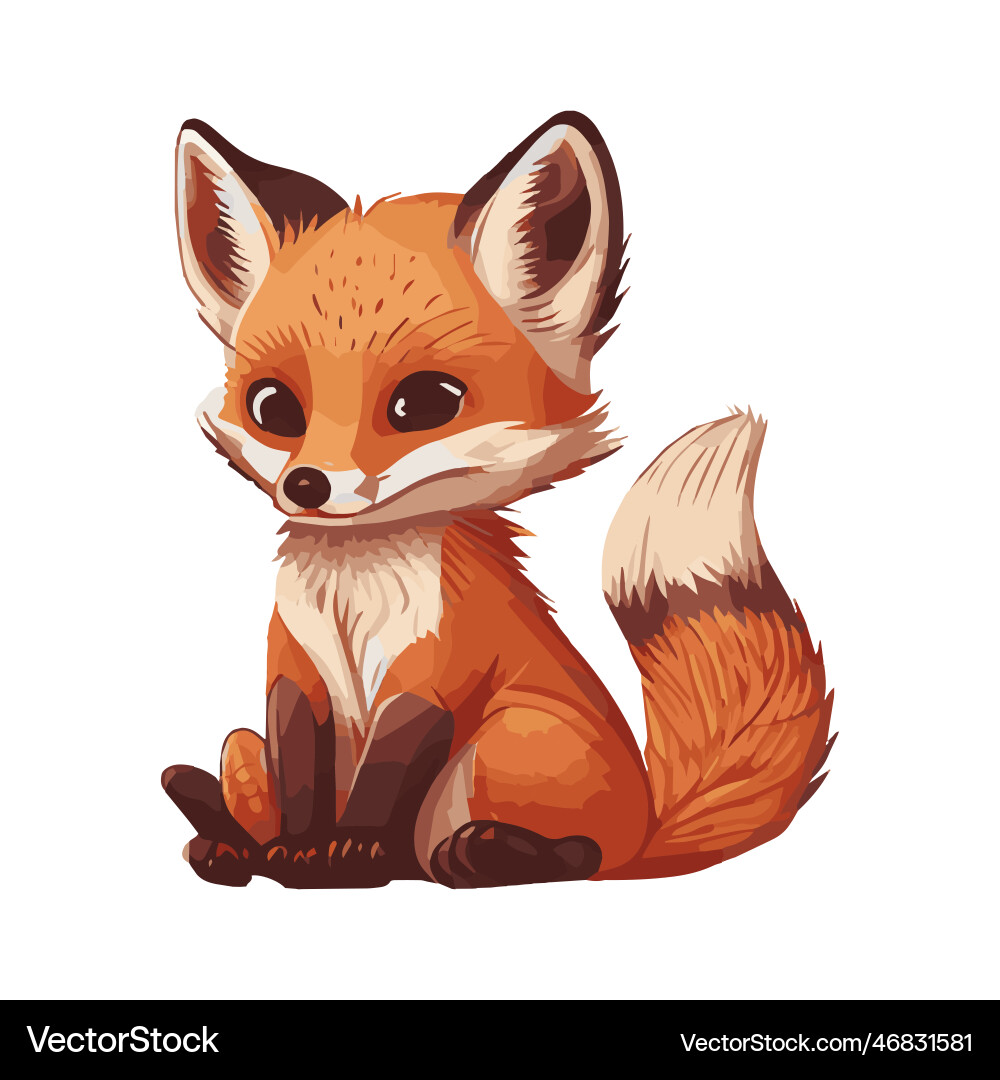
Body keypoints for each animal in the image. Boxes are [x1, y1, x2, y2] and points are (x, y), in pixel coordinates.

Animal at [163, 111, 834, 889]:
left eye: (424, 402)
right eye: (273, 407)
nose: (307, 485)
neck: (354, 595)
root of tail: (648, 829)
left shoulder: (436, 674)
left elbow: (384, 777)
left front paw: (349, 853)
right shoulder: (293, 674)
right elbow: (301, 778)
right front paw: (295, 854)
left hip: (508, 740)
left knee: (576, 856)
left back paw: (483, 853)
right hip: (241, 742)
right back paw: (227, 841)